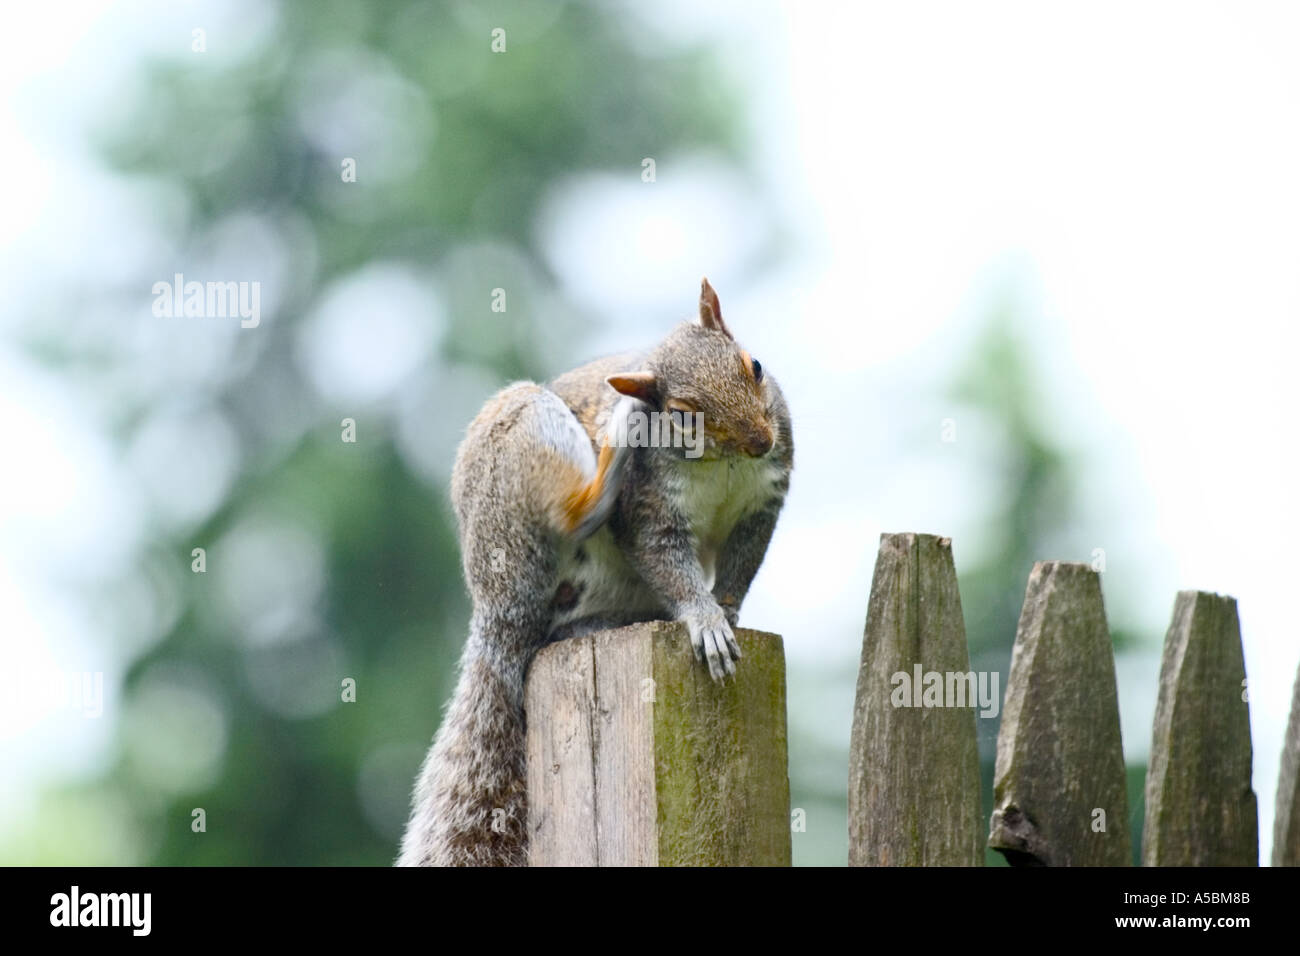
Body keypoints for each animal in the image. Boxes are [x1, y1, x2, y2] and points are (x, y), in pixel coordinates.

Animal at [397, 279, 793, 867]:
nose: (760, 440)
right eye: (682, 414)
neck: (725, 465)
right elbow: (666, 561)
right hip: (520, 452)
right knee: (573, 517)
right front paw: (704, 620)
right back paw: (614, 446)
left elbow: (744, 562)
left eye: (756, 365)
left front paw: (728, 610)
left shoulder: (763, 502)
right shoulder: (651, 510)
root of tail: (493, 610)